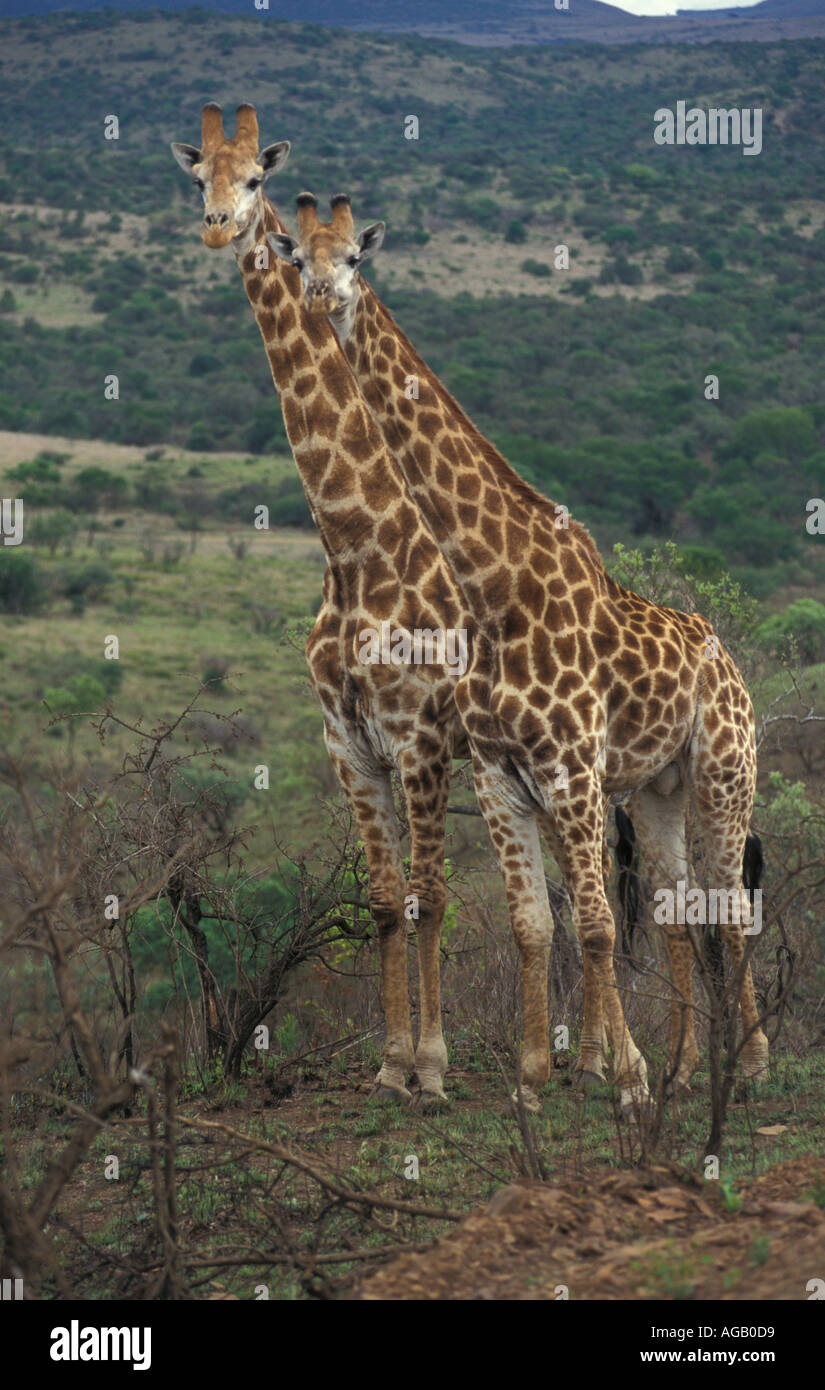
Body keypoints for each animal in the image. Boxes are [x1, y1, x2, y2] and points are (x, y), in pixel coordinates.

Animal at [171, 104, 483, 1105]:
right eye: (196, 177)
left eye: (255, 180)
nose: (219, 228)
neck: (351, 545)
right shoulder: (349, 743)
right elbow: (386, 900)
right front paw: (390, 1065)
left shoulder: (417, 739)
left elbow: (430, 897)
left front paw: (432, 1069)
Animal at [269, 194, 770, 1105]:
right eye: (299, 258)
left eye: (354, 258)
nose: (323, 301)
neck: (491, 589)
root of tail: (722, 654)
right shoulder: (497, 776)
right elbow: (535, 923)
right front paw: (537, 1076)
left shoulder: (554, 767)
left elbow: (594, 925)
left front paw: (622, 1079)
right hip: (657, 790)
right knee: (679, 911)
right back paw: (686, 1067)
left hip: (725, 770)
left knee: (727, 906)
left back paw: (745, 1065)